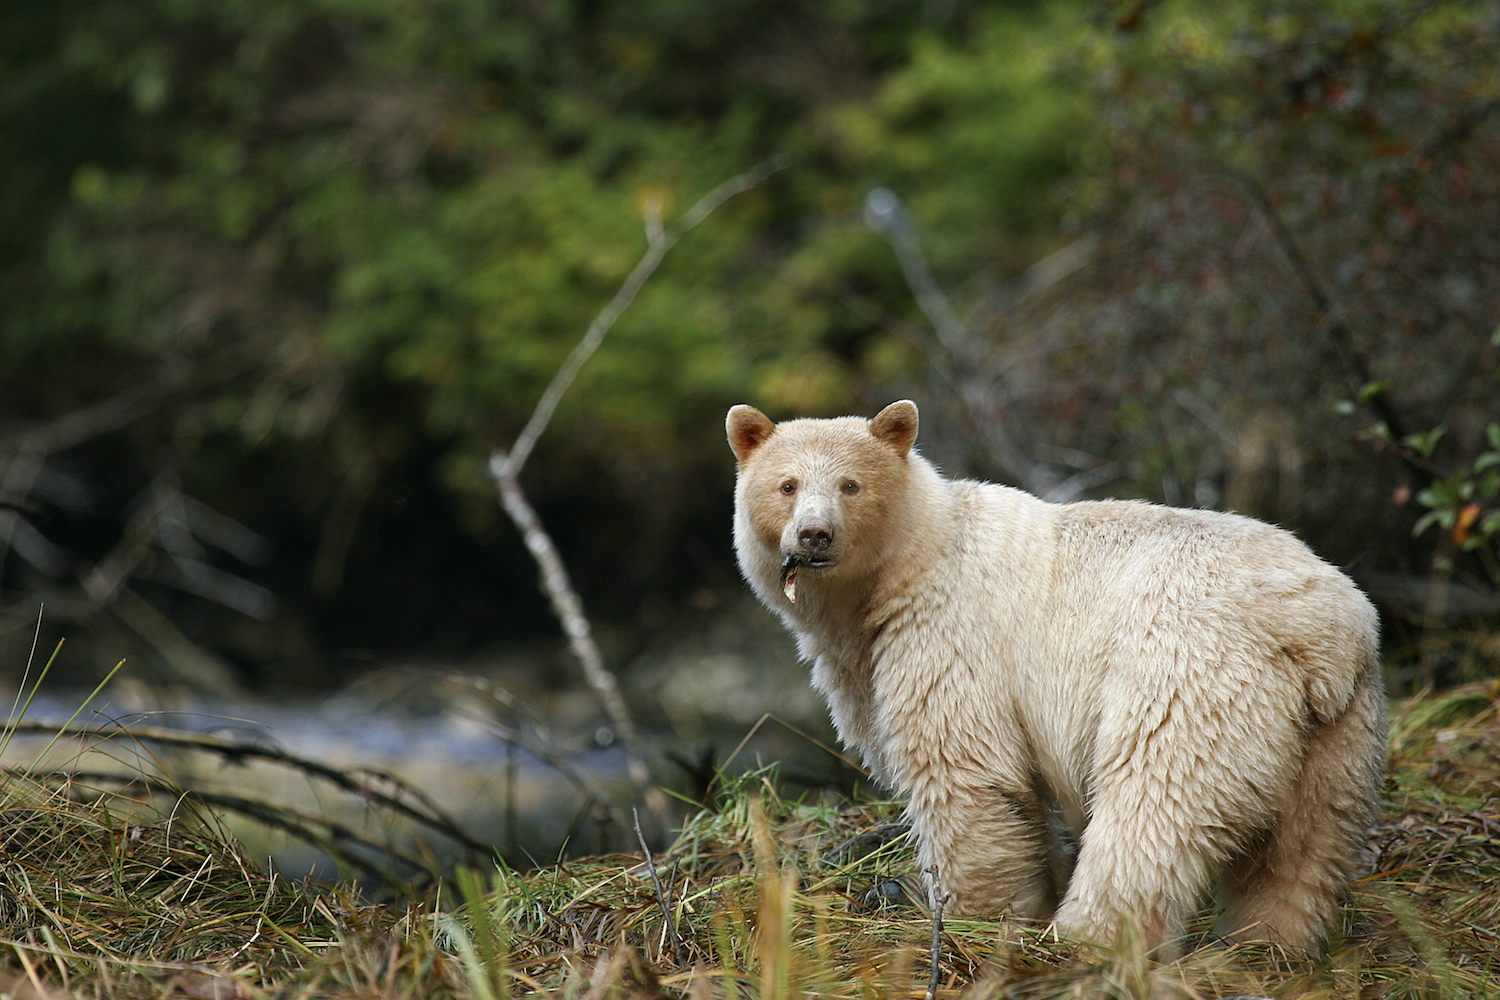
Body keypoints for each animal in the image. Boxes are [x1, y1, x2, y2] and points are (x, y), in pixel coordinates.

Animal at [726, 399, 1386, 957]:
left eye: (850, 484)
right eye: (787, 485)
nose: (814, 534)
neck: (906, 566)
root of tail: (1319, 631)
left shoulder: (950, 634)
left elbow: (965, 773)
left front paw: (971, 919)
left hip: (1190, 676)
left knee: (1153, 808)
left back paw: (1087, 938)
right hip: (1337, 727)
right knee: (1303, 846)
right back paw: (1268, 943)